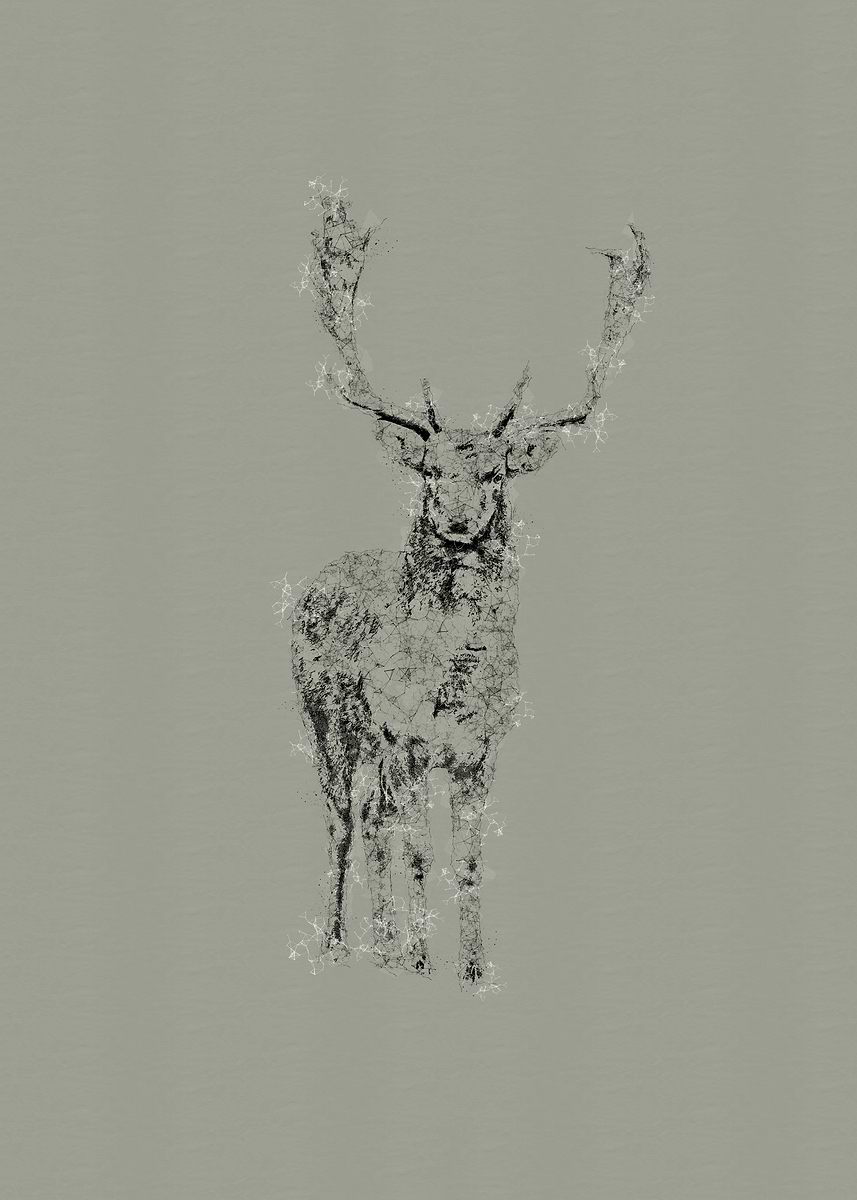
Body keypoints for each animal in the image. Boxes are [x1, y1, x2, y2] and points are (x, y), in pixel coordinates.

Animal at [289, 178, 651, 988]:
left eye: (493, 472)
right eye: (430, 471)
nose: (455, 521)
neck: (451, 679)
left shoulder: (481, 747)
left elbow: (471, 859)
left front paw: (474, 968)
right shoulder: (403, 735)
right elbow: (420, 848)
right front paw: (425, 964)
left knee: (372, 822)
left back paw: (382, 943)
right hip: (324, 712)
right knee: (343, 817)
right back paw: (341, 944)